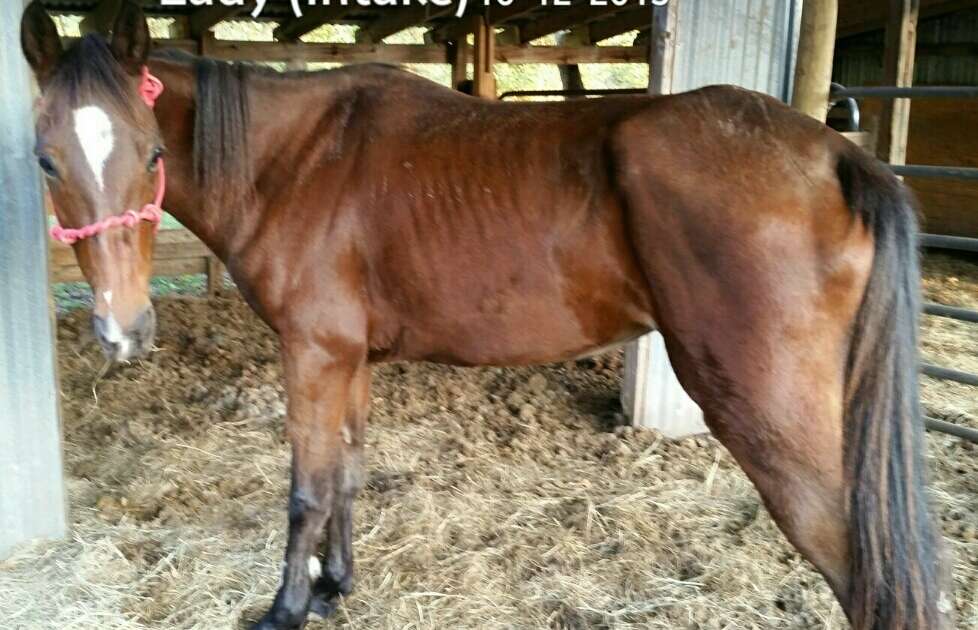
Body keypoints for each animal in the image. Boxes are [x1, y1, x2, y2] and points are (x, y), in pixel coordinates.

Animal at [20, 2, 950, 628]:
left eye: (153, 153)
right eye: (46, 159)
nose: (123, 330)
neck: (300, 159)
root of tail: (838, 157)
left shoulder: (312, 354)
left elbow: (306, 488)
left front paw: (285, 607)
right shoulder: (349, 360)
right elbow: (347, 474)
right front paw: (333, 587)